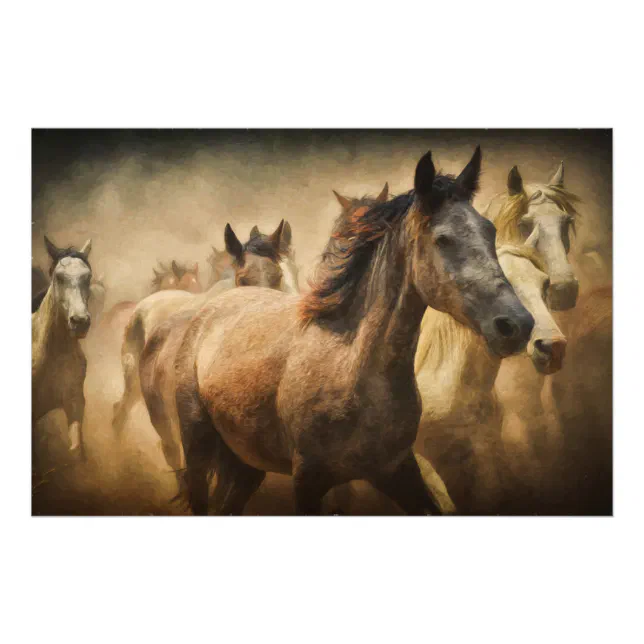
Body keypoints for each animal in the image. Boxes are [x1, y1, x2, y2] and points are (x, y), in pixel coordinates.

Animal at [172, 147, 535, 516]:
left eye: (490, 231)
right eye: (443, 239)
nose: (516, 324)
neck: (353, 367)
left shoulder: (397, 471)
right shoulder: (308, 481)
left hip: (247, 462)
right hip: (198, 444)